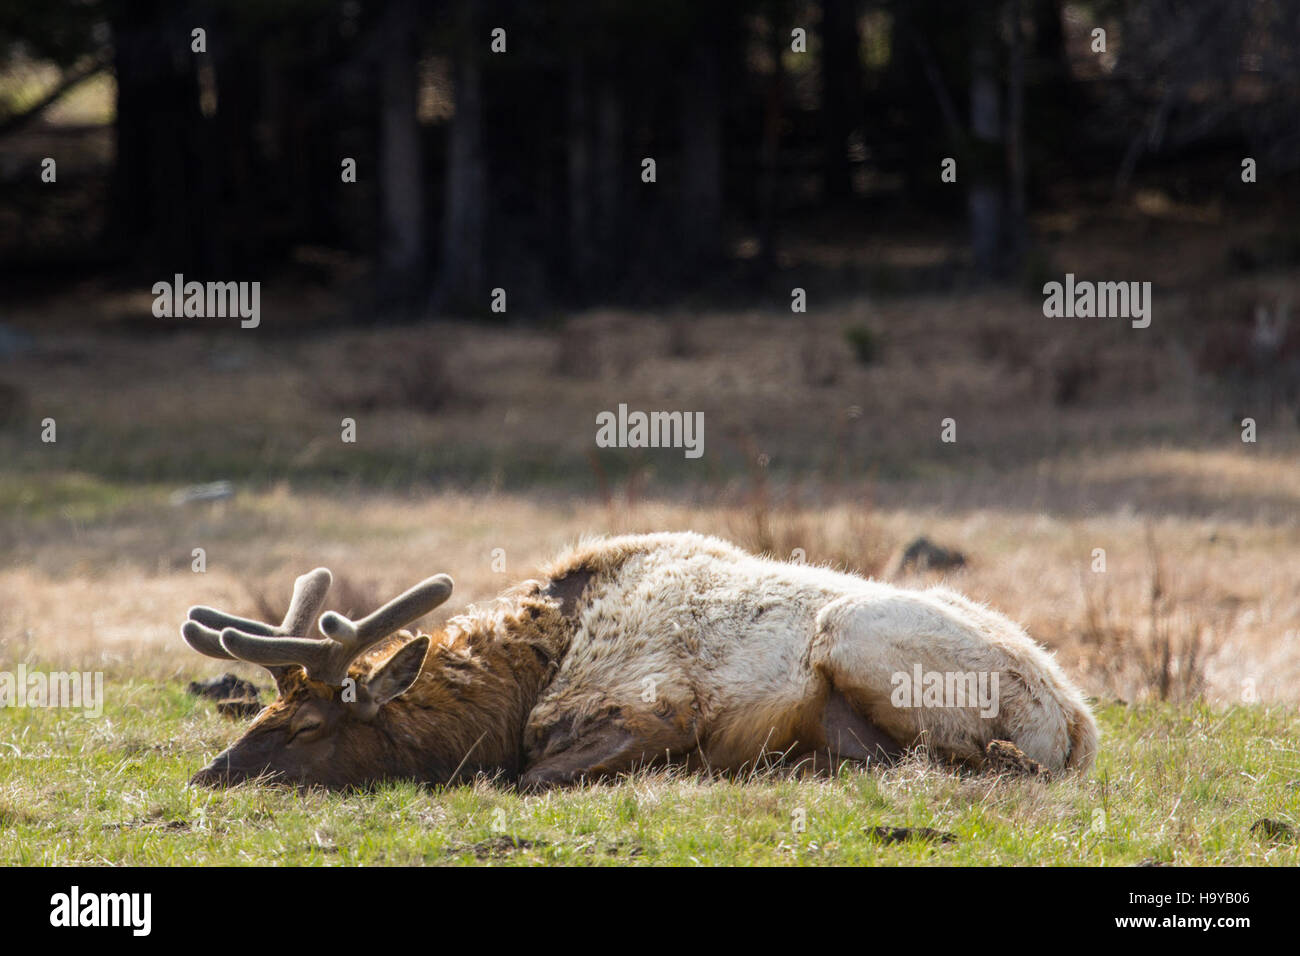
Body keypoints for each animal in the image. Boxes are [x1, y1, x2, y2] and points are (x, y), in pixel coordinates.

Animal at [180, 531, 1098, 790]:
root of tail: (1081, 722)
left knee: (998, 759)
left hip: (854, 637)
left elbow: (521, 778)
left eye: (305, 726)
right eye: (264, 710)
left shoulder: (659, 708)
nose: (208, 775)